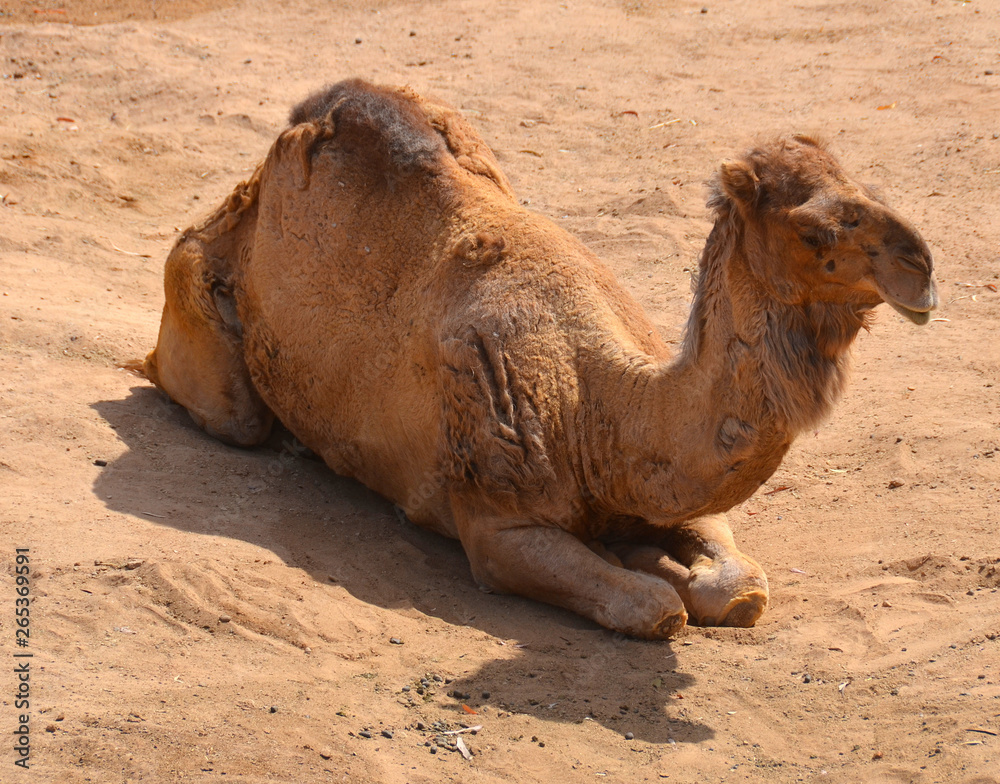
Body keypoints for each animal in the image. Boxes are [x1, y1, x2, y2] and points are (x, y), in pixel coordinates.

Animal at [142, 79, 937, 639]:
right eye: (815, 230)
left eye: (866, 188)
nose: (923, 267)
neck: (597, 409)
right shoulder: (499, 529)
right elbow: (653, 608)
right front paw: (645, 569)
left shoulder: (672, 493)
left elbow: (737, 588)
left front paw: (658, 557)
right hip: (201, 314)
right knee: (233, 412)